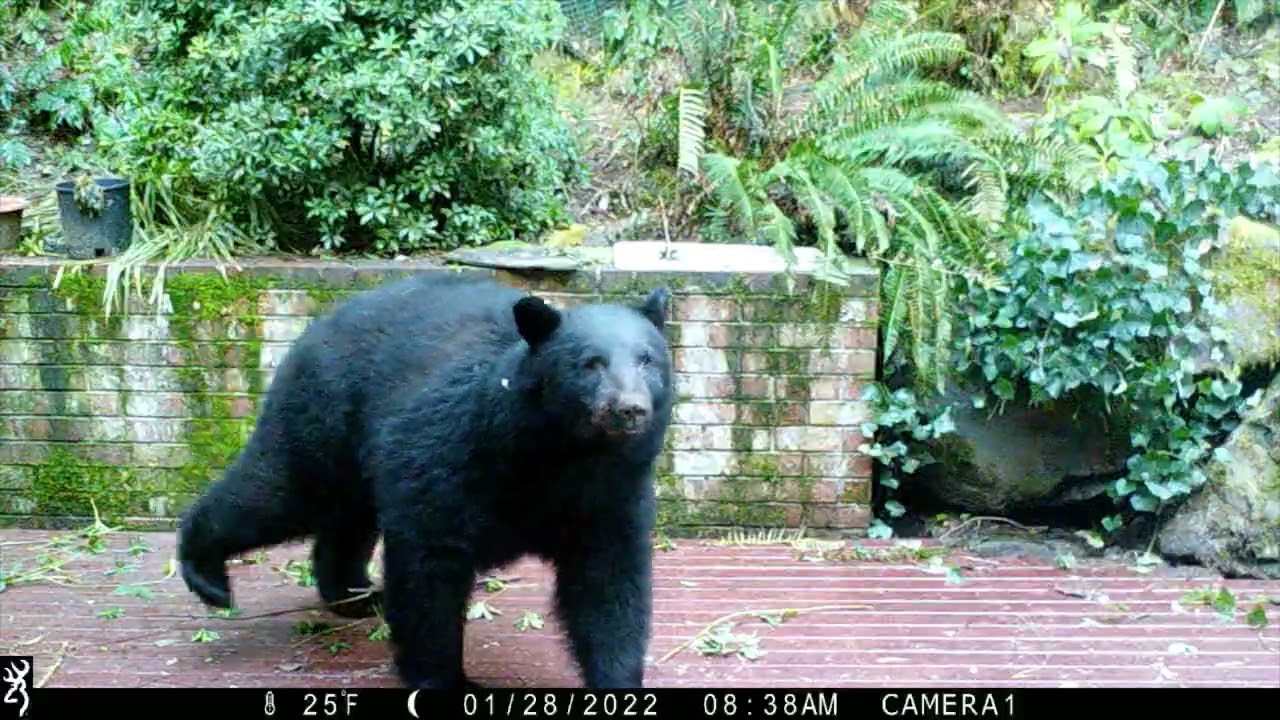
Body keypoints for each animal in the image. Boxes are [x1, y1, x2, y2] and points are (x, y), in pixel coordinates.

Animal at [174, 272, 674, 690]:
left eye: (647, 359)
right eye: (590, 363)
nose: (629, 409)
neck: (559, 454)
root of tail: (320, 323)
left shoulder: (610, 493)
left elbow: (607, 583)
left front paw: (617, 678)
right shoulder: (449, 455)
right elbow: (429, 568)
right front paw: (446, 679)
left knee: (346, 516)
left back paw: (352, 593)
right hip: (325, 415)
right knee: (278, 491)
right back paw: (209, 576)